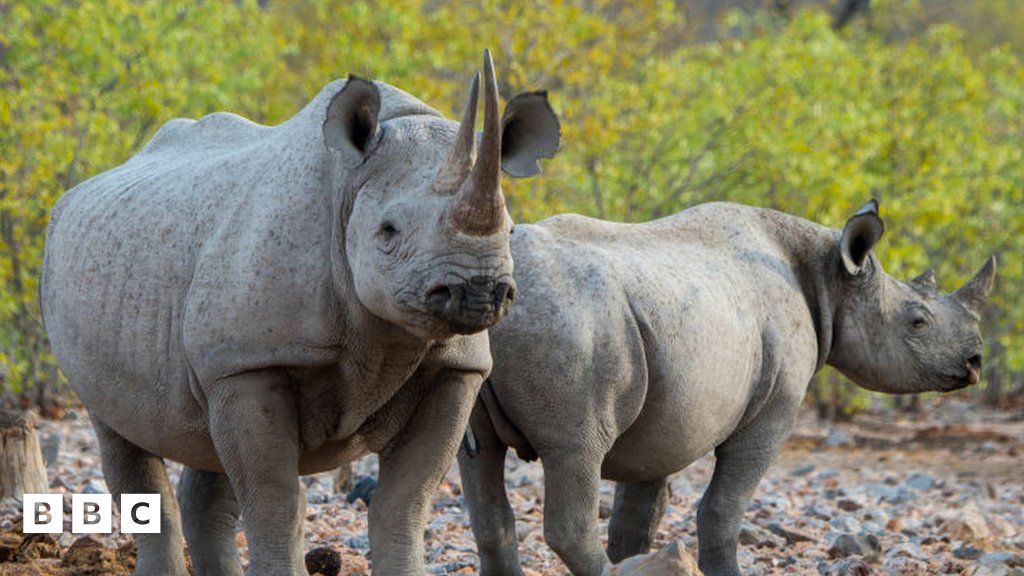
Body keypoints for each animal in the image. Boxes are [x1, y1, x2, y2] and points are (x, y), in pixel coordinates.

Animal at [40, 51, 560, 576]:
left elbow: (405, 502)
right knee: (119, 433)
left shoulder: (454, 368)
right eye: (388, 231)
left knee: (204, 445)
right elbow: (276, 500)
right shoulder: (251, 361)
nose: (477, 290)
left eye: (511, 231)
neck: (349, 185)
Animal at [458, 200, 995, 576]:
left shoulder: (663, 410)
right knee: (574, 452)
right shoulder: (774, 406)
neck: (830, 278)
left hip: (498, 331)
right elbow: (725, 506)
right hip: (572, 327)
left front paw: (642, 563)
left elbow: (637, 515)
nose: (974, 363)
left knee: (477, 464)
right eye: (918, 321)